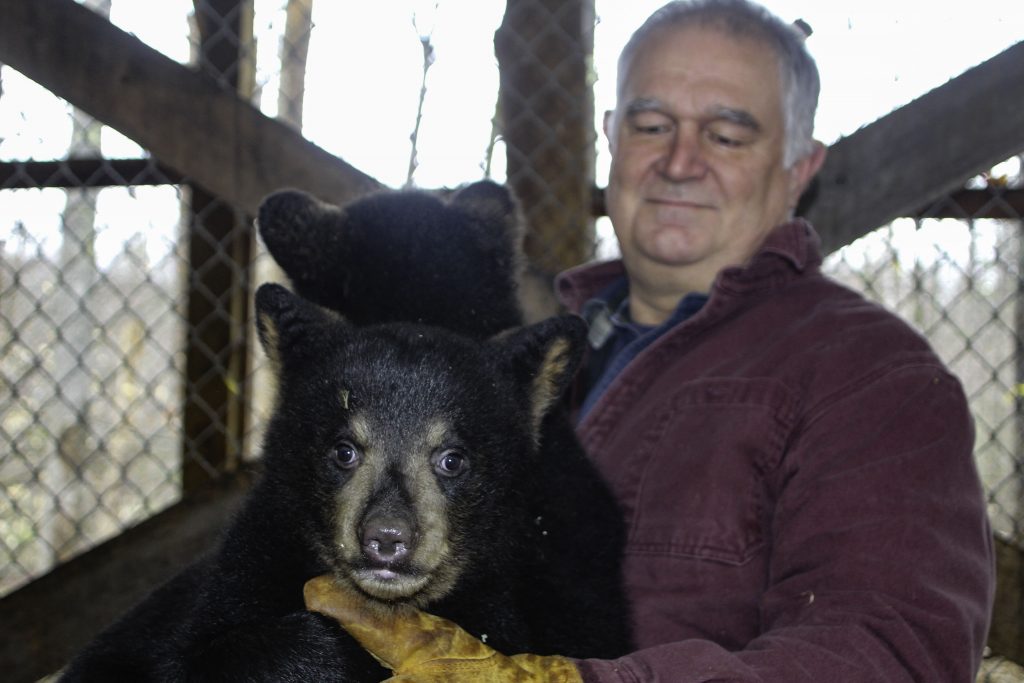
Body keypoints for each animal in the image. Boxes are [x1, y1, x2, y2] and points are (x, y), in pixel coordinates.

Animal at [62, 282, 629, 682]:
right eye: (344, 450)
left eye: (452, 460)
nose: (387, 539)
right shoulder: (228, 587)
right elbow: (198, 658)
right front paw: (330, 653)